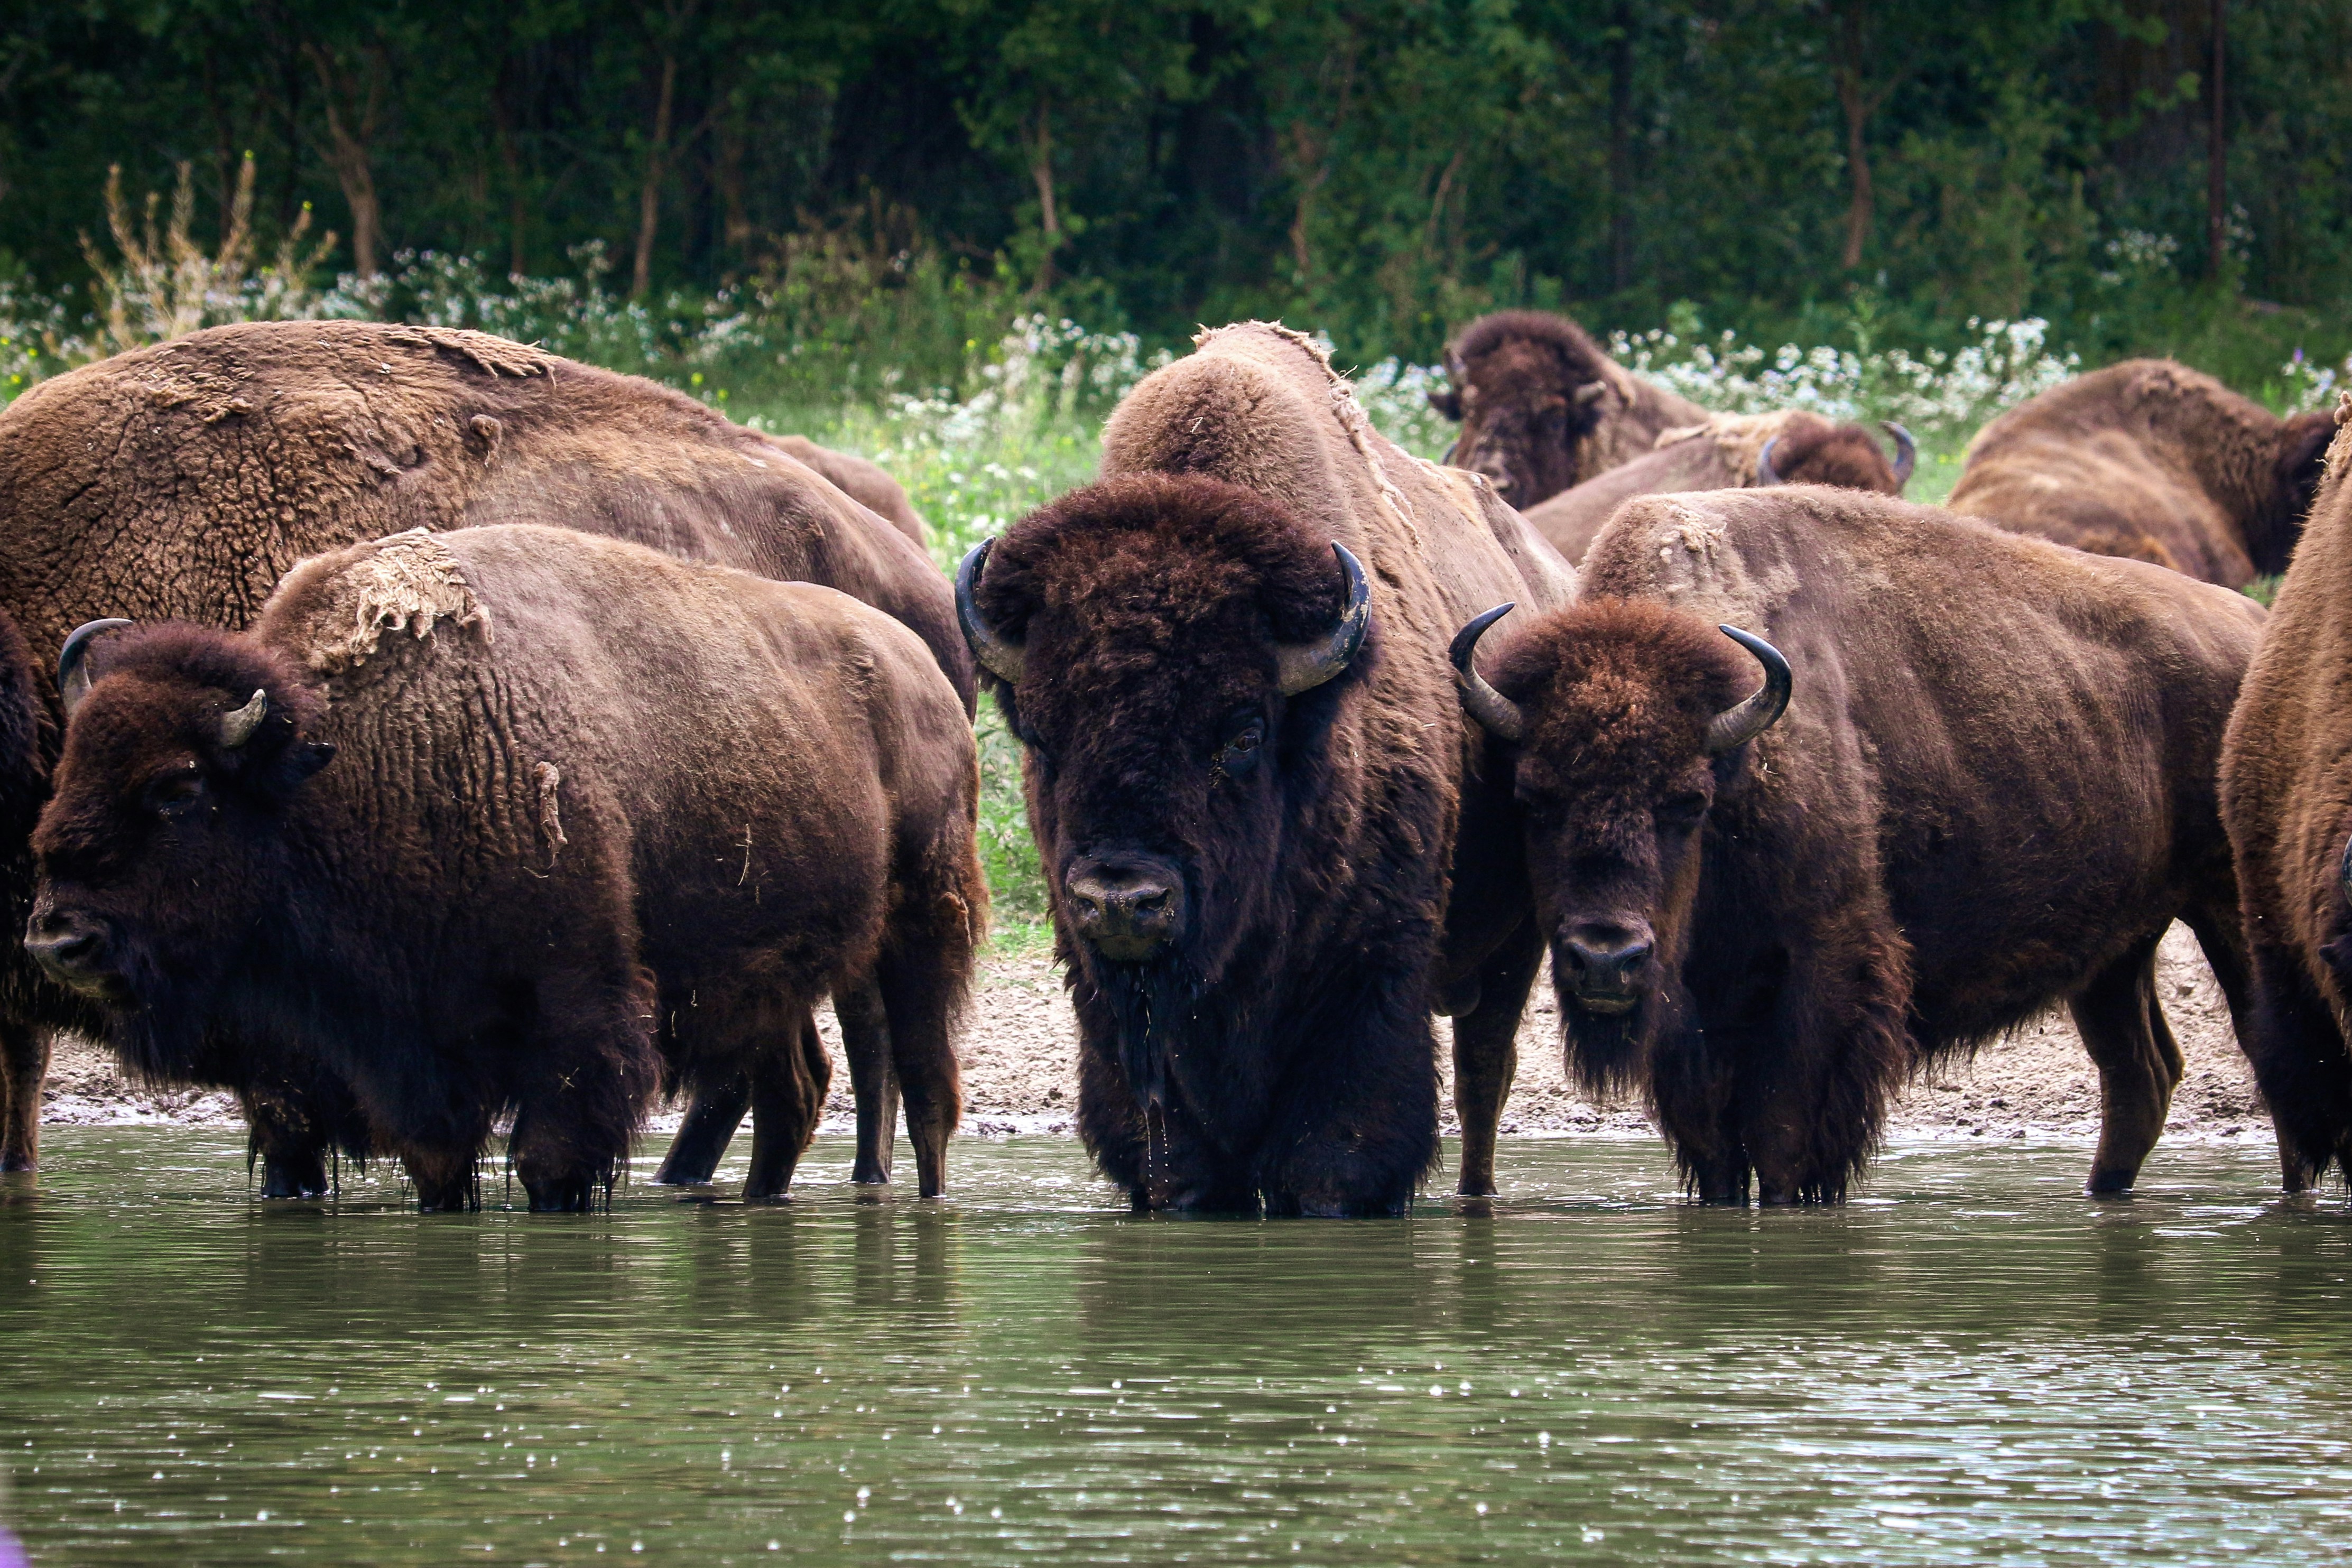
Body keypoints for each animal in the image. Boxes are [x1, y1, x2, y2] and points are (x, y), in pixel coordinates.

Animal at [0, 319, 968, 1188]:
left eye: (177, 789)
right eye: (69, 777)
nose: (58, 936)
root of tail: (914, 587)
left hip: (913, 917)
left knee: (902, 1074)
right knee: (795, 1079)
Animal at [957, 322, 1575, 1213]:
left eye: (1242, 735)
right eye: (1041, 734)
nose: (1121, 899)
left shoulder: (1371, 977)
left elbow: (1328, 1161)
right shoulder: (1104, 996)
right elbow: (1171, 1162)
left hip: (1510, 947)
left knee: (1483, 1075)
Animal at [1453, 487, 2263, 1202]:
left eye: (1689, 801)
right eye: (1532, 799)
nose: (1604, 958)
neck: (1738, 759)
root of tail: (2248, 627)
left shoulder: (1823, 968)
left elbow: (1781, 1140)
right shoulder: (1694, 1019)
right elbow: (1717, 1155)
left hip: (2227, 909)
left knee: (2265, 1051)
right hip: (2116, 952)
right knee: (2138, 1074)